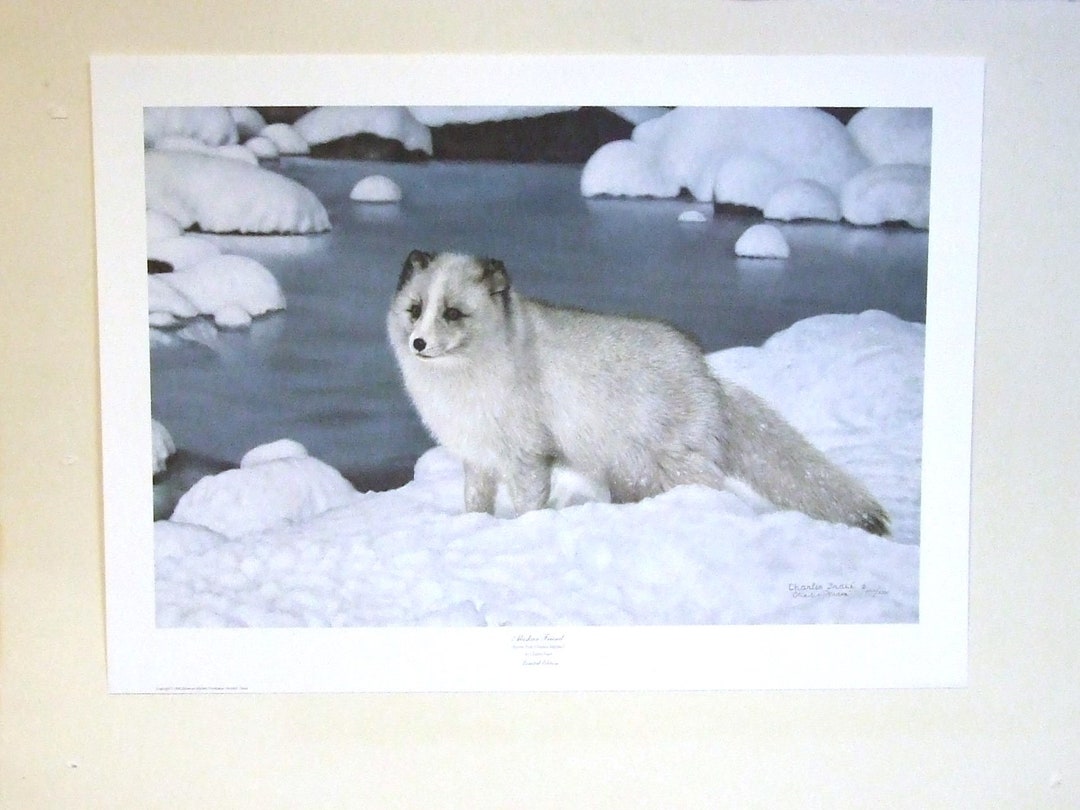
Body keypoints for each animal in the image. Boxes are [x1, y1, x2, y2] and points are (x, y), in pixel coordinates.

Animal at [387, 250, 889, 535]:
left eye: (453, 313)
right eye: (415, 310)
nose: (419, 344)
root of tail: (706, 374)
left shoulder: (528, 456)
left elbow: (529, 505)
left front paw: (524, 531)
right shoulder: (479, 457)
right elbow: (476, 503)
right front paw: (473, 527)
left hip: (668, 468)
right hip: (629, 473)